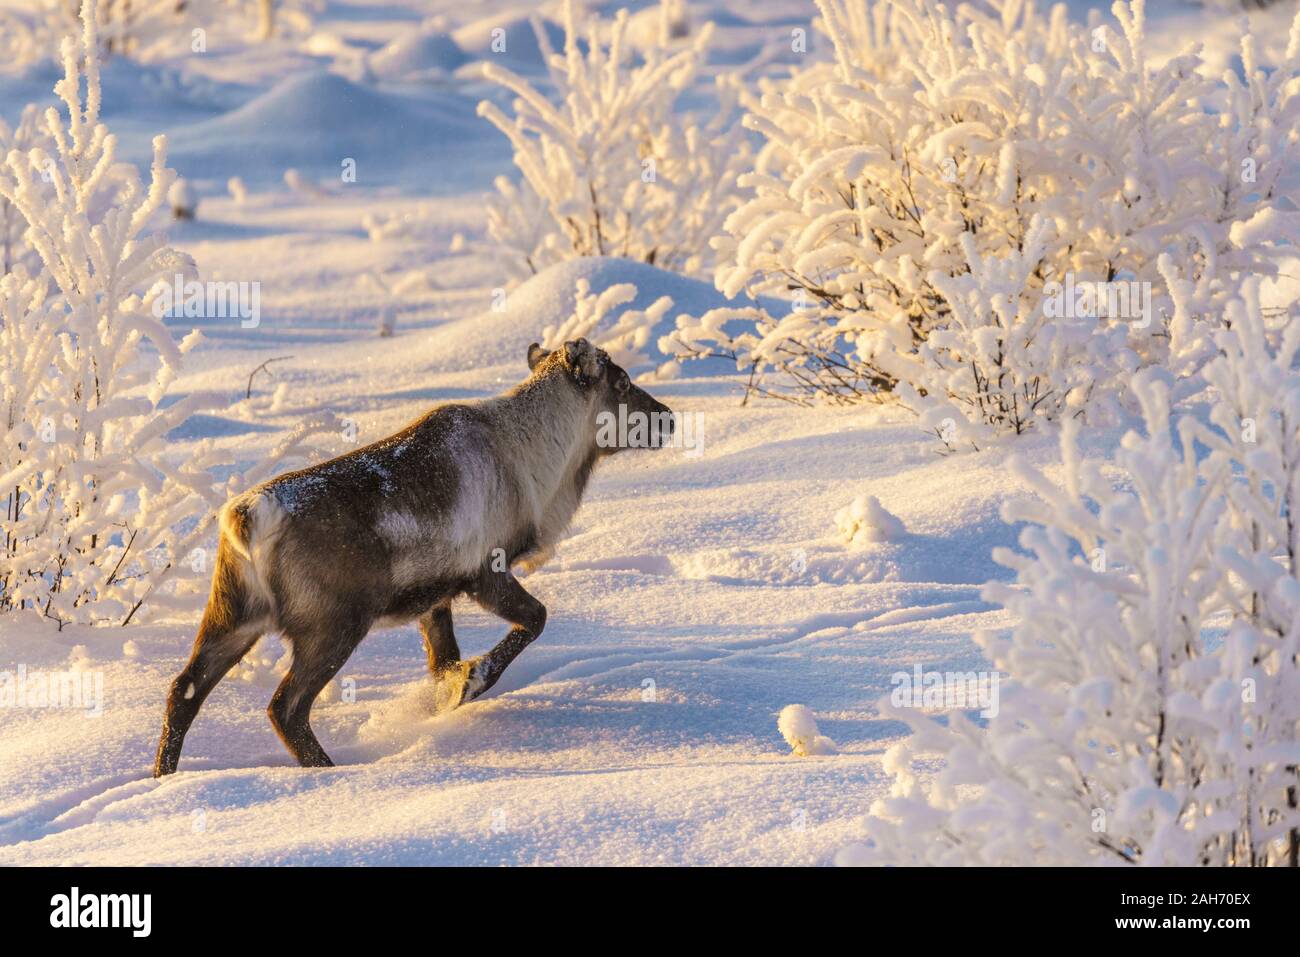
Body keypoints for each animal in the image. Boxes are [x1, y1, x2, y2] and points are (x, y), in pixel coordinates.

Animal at [154, 338, 674, 775]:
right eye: (622, 382)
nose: (667, 417)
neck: (539, 461)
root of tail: (247, 518)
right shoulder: (485, 571)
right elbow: (534, 619)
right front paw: (470, 683)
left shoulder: (435, 596)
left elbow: (443, 658)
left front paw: (449, 689)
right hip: (333, 625)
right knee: (286, 706)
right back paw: (328, 771)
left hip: (234, 616)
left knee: (184, 690)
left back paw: (164, 775)